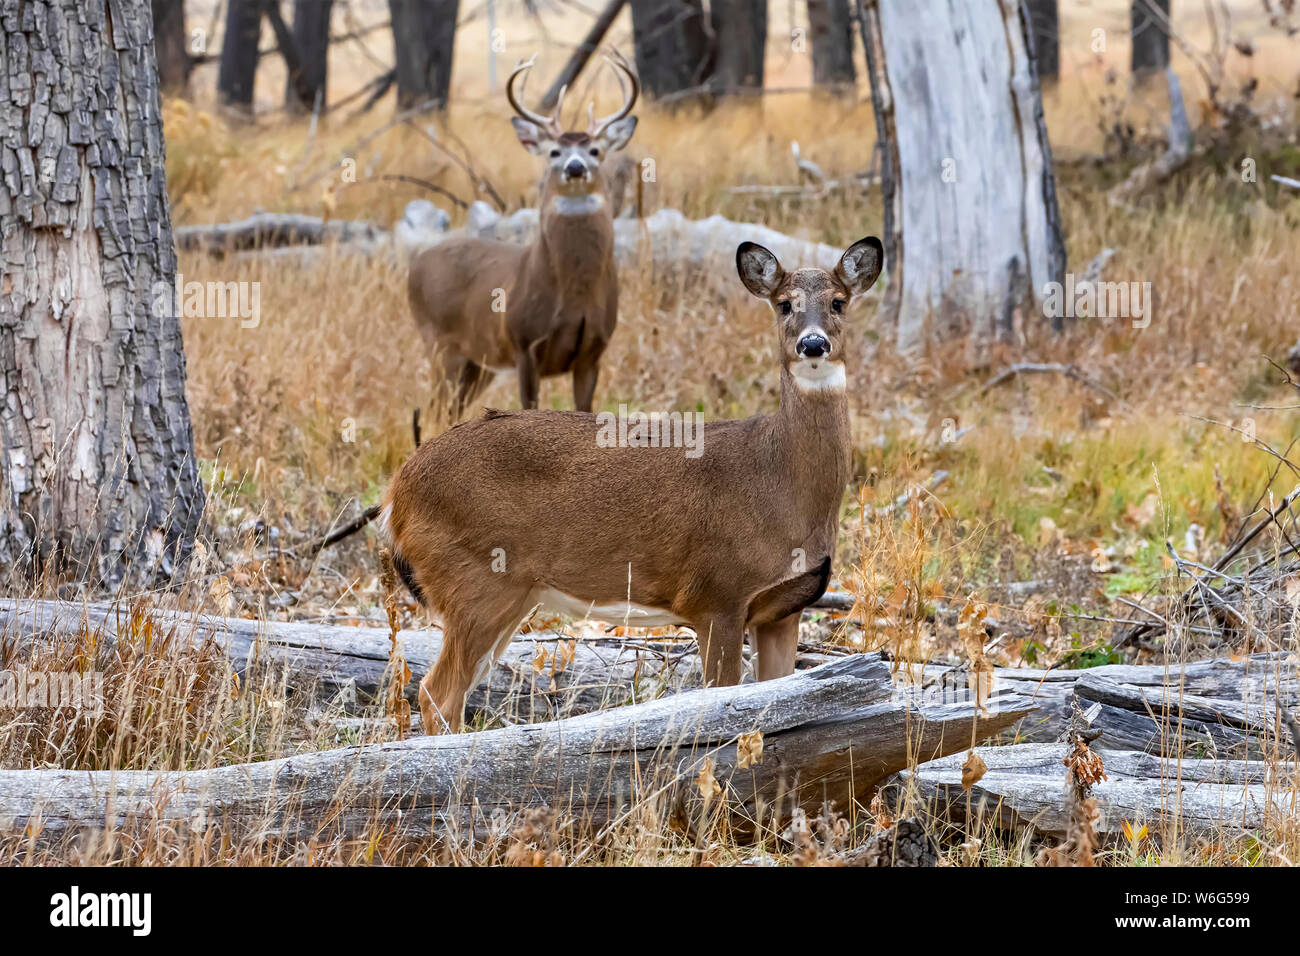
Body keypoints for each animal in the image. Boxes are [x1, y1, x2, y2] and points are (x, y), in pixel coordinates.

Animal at [383, 235, 884, 734]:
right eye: (783, 304)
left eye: (839, 301)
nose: (813, 343)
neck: (780, 483)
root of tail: (397, 492)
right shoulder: (716, 595)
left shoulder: (783, 609)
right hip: (476, 580)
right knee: (436, 693)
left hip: (506, 593)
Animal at [406, 53, 640, 418]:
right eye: (554, 151)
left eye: (595, 151)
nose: (575, 167)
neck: (574, 293)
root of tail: (415, 265)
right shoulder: (523, 342)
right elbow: (529, 406)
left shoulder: (593, 350)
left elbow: (584, 408)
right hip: (439, 343)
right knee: (433, 409)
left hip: (478, 364)